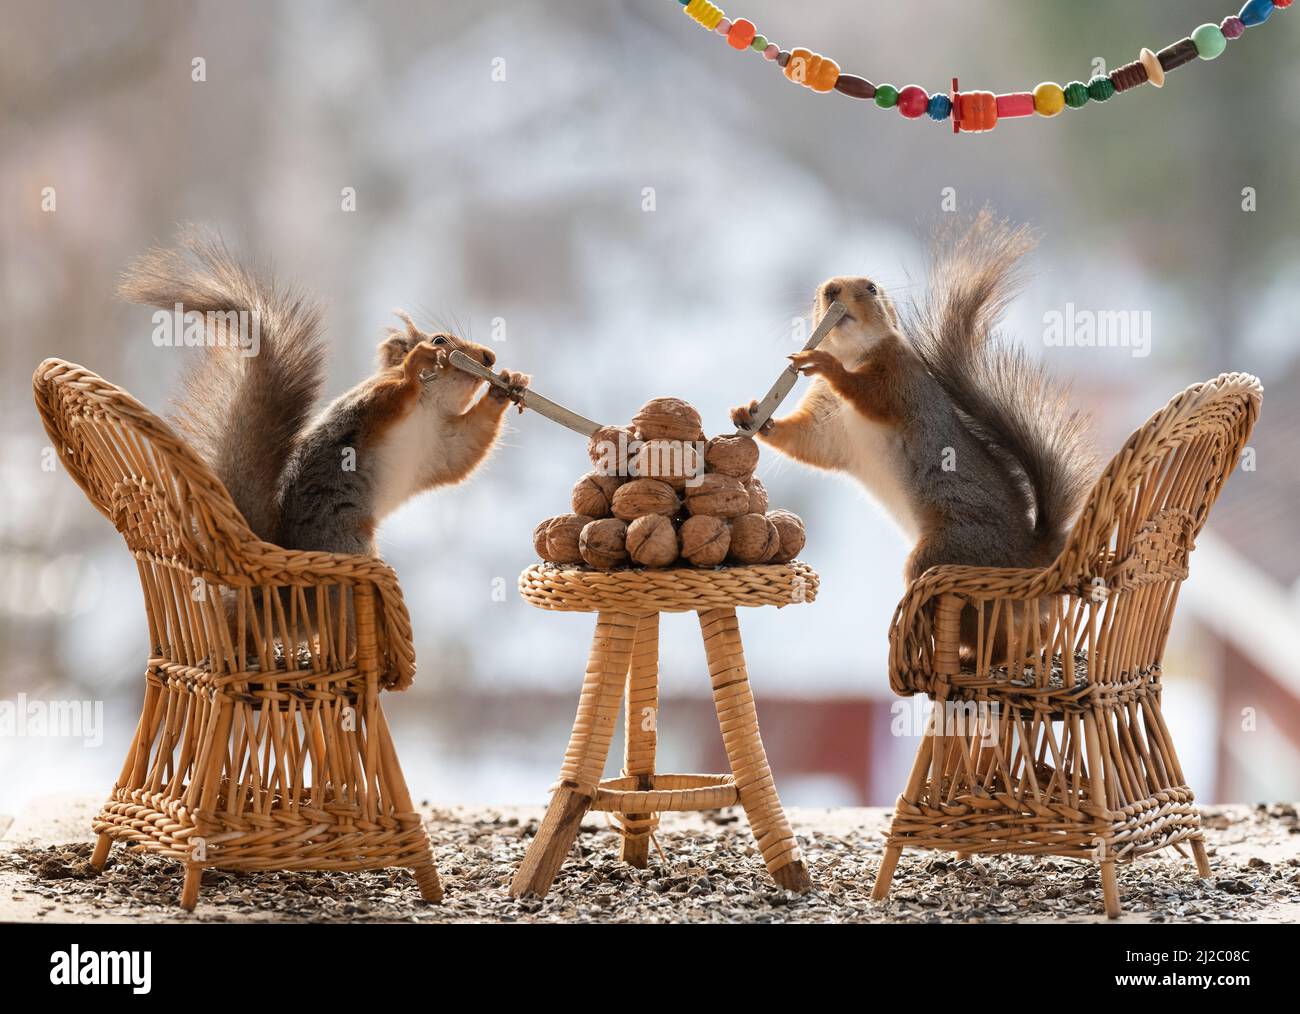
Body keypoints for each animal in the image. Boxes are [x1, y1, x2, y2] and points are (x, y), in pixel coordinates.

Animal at [118, 228, 529, 559]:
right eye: (441, 340)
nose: (489, 358)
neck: (426, 411)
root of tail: (281, 544)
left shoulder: (438, 445)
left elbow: (464, 448)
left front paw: (509, 385)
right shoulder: (363, 409)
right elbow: (387, 396)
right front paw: (415, 367)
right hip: (344, 540)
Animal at [732, 212, 1094, 656]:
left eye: (872, 288)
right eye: (819, 292)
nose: (831, 289)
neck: (851, 352)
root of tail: (1031, 555)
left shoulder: (900, 382)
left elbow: (868, 394)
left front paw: (823, 364)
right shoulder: (827, 425)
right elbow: (807, 441)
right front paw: (752, 414)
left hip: (948, 551)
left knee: (984, 625)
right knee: (1018, 625)